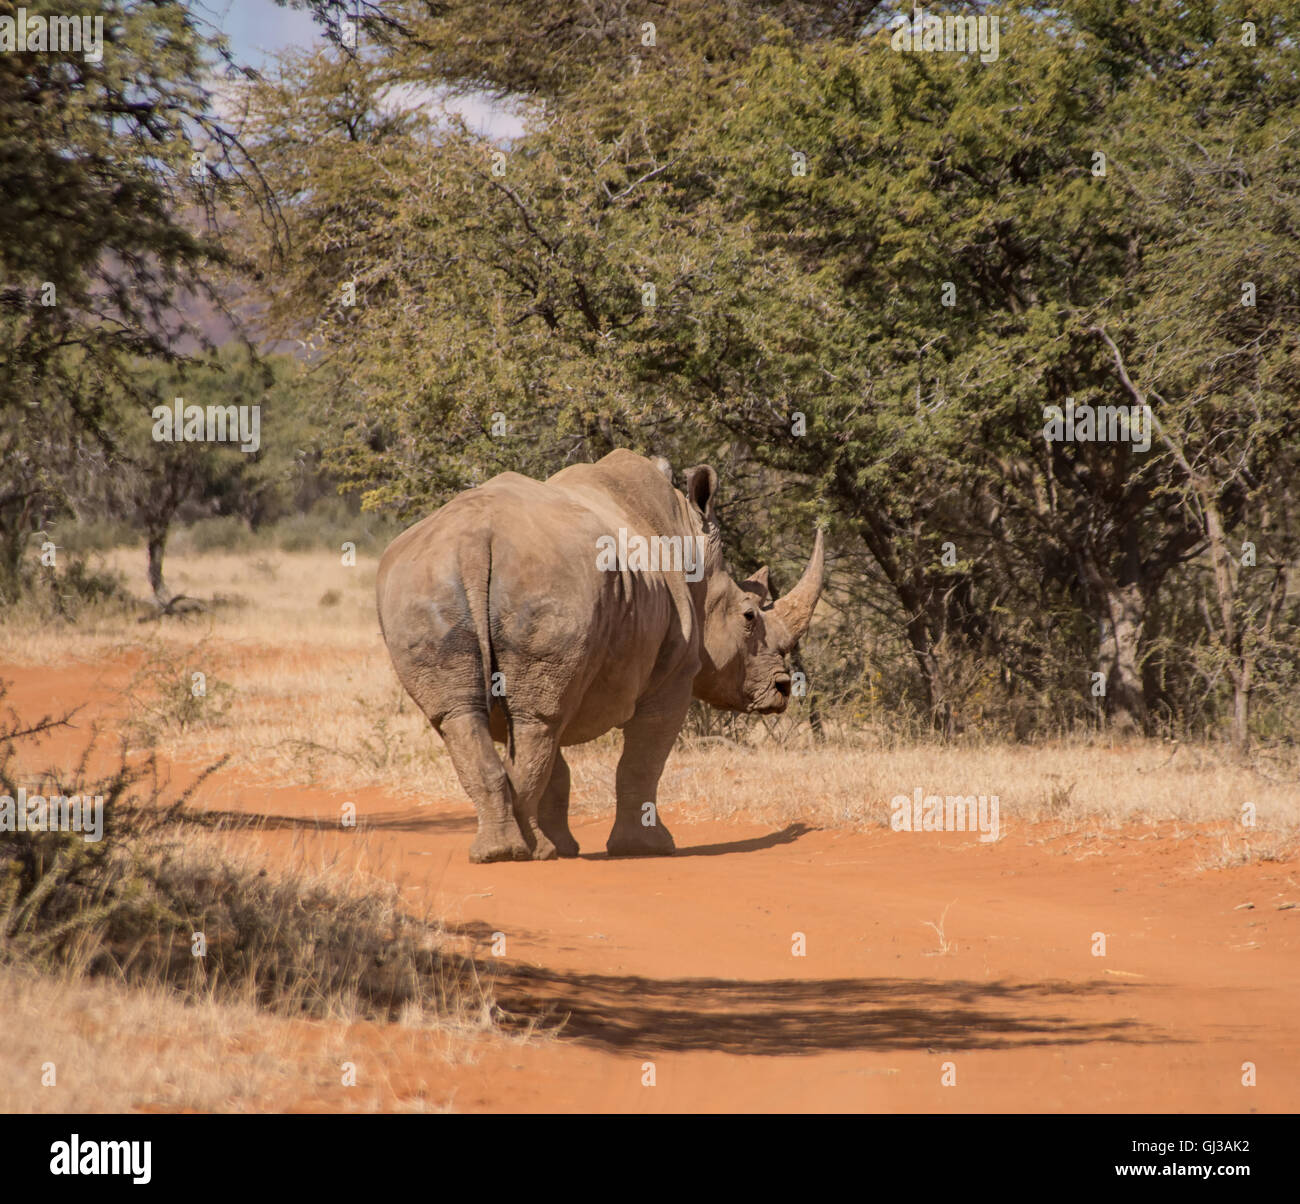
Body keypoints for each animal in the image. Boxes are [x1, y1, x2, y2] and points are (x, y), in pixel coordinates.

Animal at [376, 449, 824, 862]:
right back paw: (527, 851)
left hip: (425, 581)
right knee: (535, 721)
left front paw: (564, 847)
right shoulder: (673, 672)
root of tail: (473, 540)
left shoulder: (572, 665)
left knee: (469, 716)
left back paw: (503, 852)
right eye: (749, 616)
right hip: (548, 581)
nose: (782, 688)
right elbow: (643, 759)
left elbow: (552, 757)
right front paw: (647, 848)